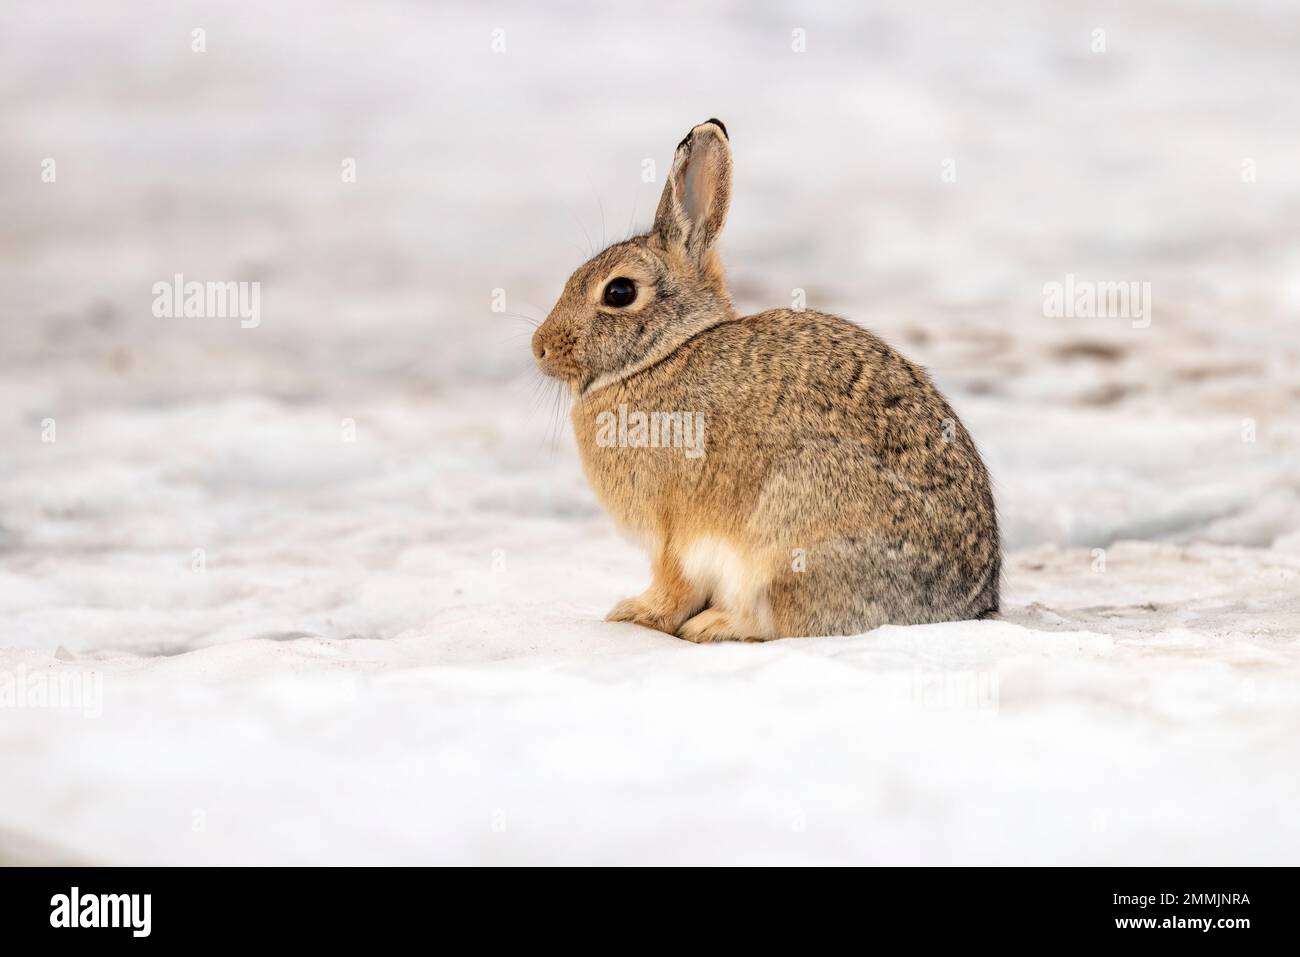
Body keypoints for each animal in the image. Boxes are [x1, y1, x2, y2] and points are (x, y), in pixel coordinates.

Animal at [533, 121, 998, 642]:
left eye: (619, 292)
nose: (539, 347)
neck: (662, 355)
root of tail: (966, 608)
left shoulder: (673, 533)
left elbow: (673, 583)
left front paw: (637, 613)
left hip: (791, 532)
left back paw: (712, 624)